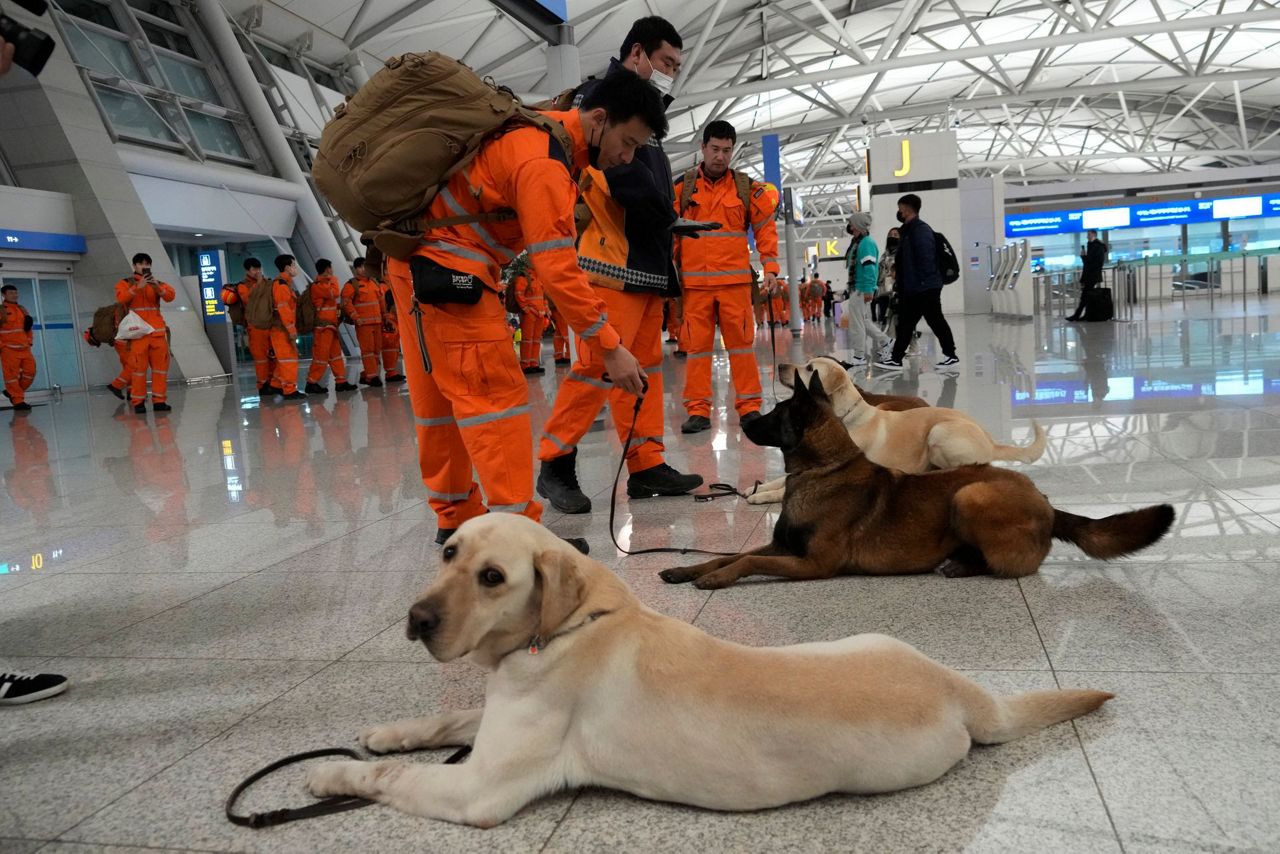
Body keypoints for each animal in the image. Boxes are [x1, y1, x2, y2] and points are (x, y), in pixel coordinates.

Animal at [307, 514, 1111, 829]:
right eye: (449, 553)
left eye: (493, 577)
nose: (416, 619)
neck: (570, 626)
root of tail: (961, 690)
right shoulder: (497, 713)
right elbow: (447, 718)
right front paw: (388, 731)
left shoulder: (480, 788)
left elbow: (392, 779)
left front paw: (329, 774)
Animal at [747, 358, 1044, 504]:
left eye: (809, 369)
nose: (780, 366)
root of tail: (991, 440)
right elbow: (779, 480)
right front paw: (754, 489)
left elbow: (782, 488)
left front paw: (760, 497)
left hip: (939, 432)